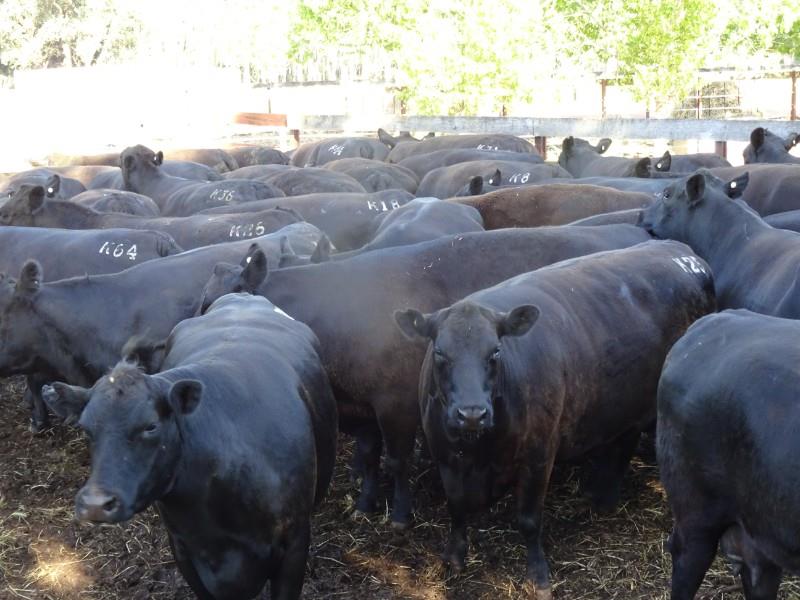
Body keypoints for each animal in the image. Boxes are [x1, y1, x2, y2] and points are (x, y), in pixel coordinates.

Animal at [42, 292, 337, 600]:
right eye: (85, 427)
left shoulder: (295, 543)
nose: (95, 504)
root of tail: (244, 296)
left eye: (151, 426)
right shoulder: (184, 549)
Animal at [195, 225, 652, 528]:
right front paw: (365, 503)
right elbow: (368, 457)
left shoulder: (395, 404)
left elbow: (396, 461)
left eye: (236, 295)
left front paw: (399, 514)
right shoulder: (363, 408)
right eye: (203, 303)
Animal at [394, 240, 714, 596]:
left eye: (495, 351)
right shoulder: (445, 455)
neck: (480, 453)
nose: (472, 414)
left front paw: (538, 575)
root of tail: (676, 248)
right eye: (439, 353)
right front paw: (453, 556)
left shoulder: (539, 455)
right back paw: (602, 495)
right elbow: (457, 506)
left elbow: (529, 521)